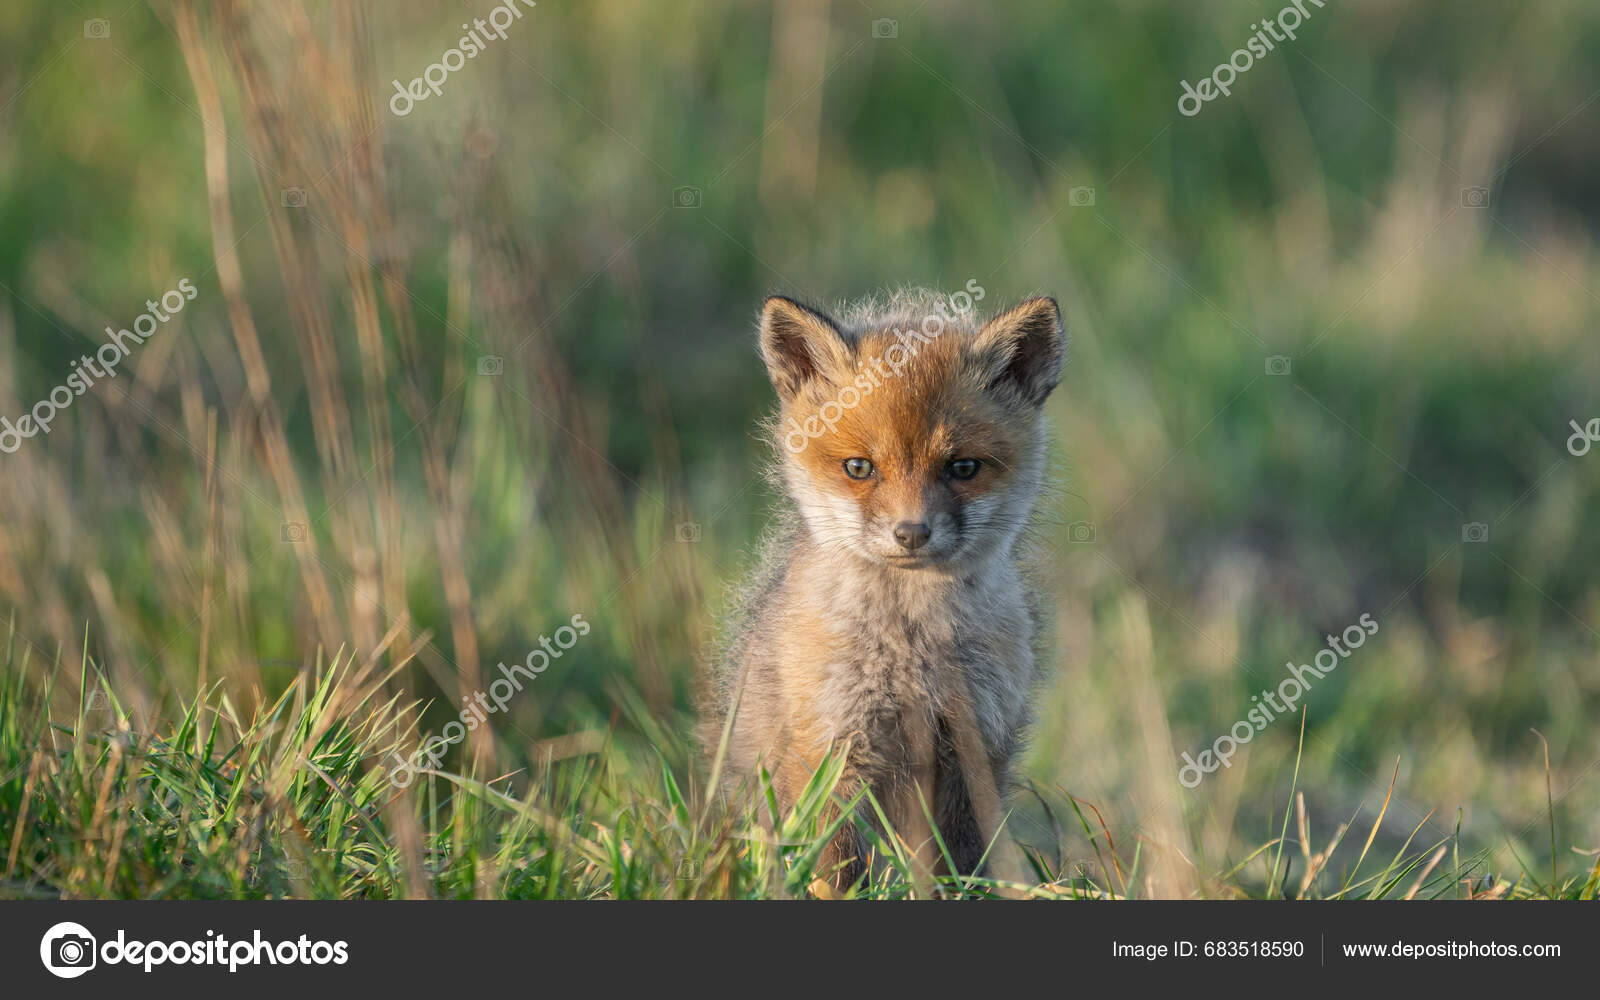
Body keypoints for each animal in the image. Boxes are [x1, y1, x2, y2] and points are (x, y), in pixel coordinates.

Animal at [704, 287, 1065, 894]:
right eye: (859, 467)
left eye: (963, 467)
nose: (911, 532)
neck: (912, 652)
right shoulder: (830, 748)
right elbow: (834, 869)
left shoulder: (975, 745)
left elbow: (961, 867)